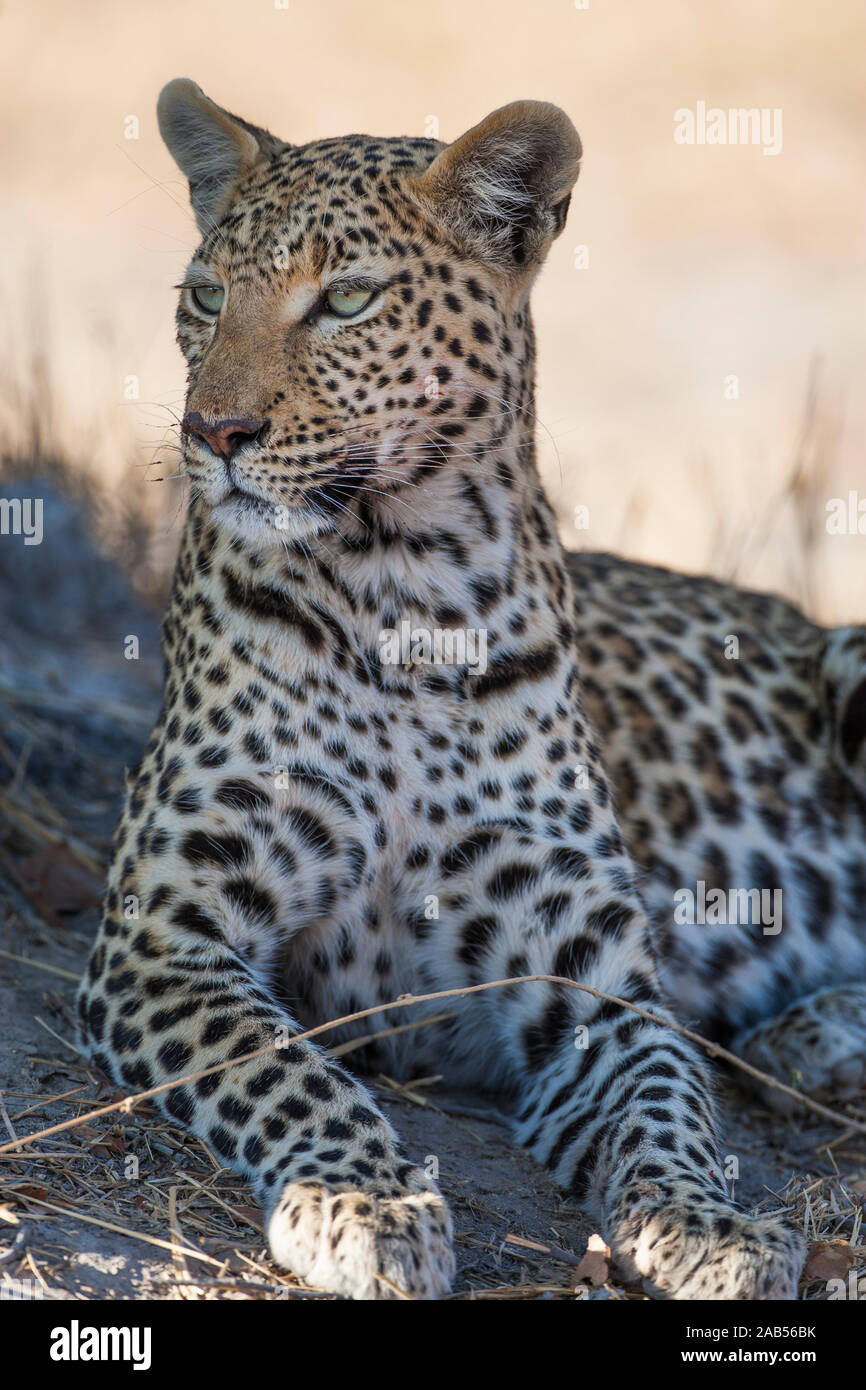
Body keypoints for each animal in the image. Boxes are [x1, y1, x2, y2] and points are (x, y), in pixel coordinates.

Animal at [78, 78, 866, 1301]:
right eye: (205, 297)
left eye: (347, 300)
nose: (214, 431)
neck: (406, 582)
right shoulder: (166, 933)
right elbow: (284, 1067)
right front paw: (364, 1202)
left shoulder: (597, 983)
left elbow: (666, 1105)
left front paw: (708, 1225)